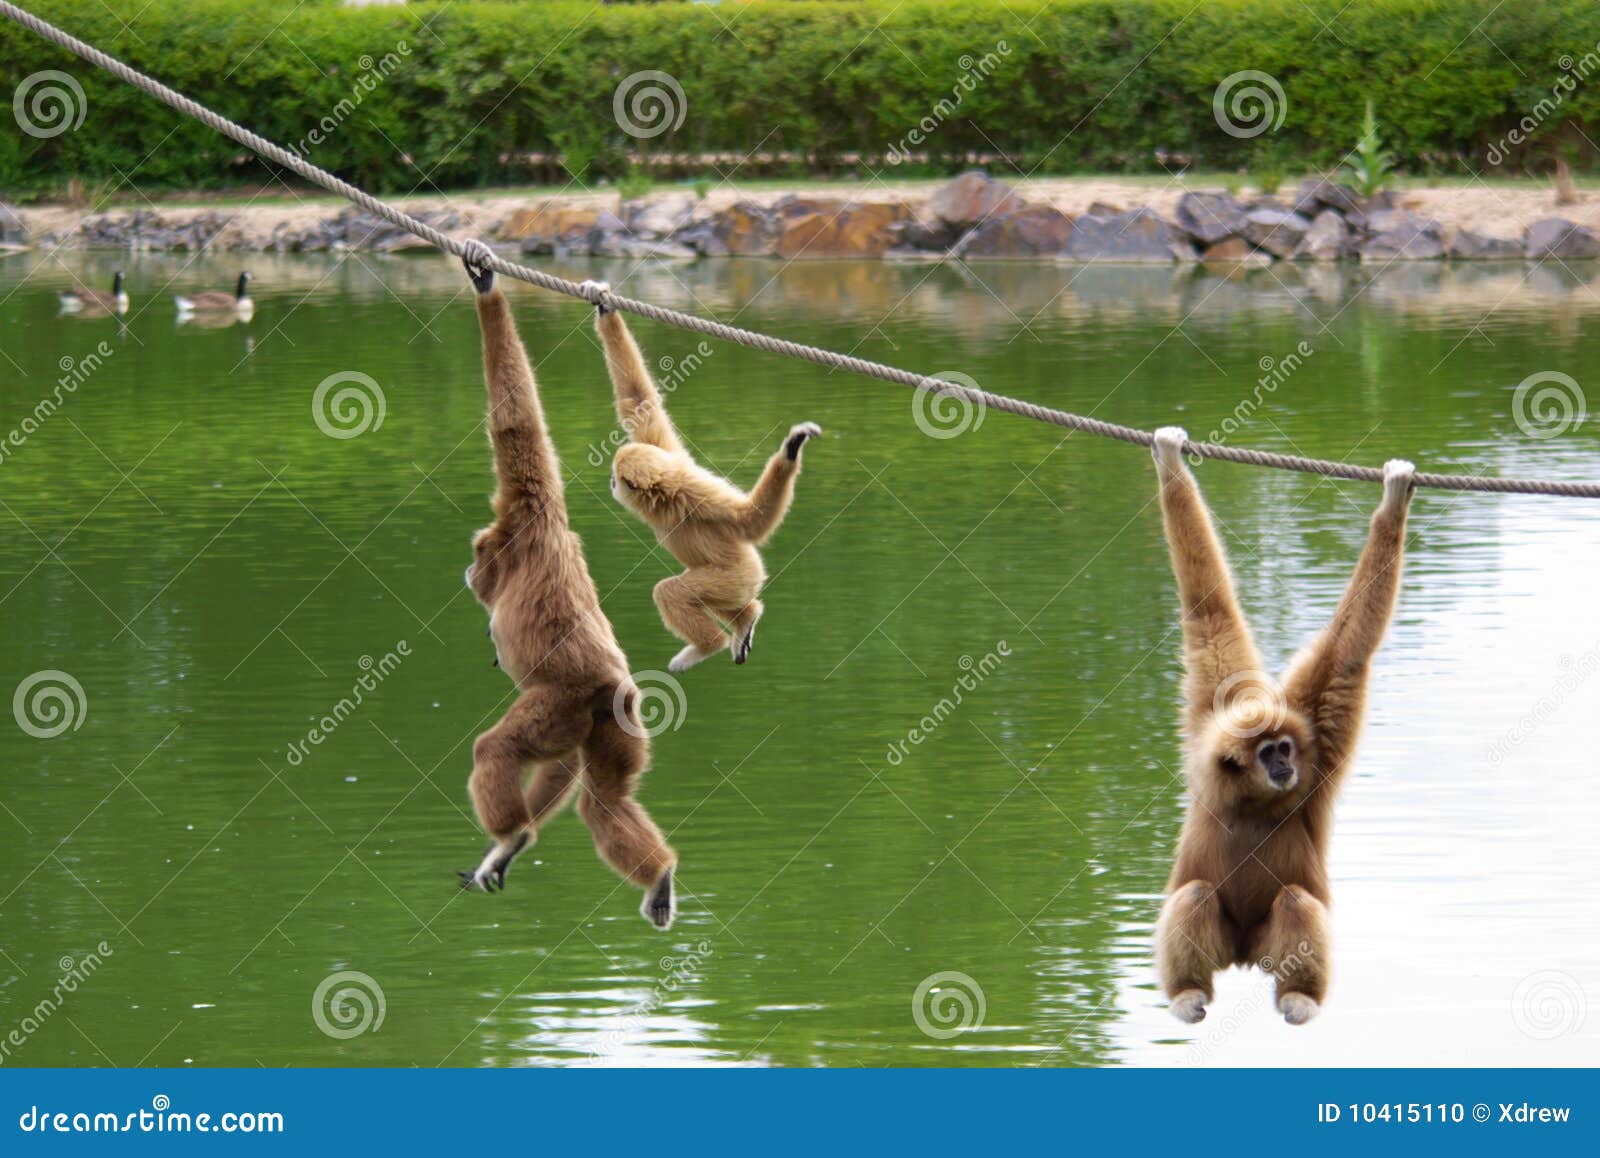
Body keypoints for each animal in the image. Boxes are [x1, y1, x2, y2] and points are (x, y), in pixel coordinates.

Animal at [455, 241, 677, 930]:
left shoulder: (528, 504)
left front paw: (486, 285)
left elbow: (516, 425)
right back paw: (659, 877)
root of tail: (613, 688)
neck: (517, 547)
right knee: (600, 797)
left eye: (477, 557)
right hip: (613, 723)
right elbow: (560, 775)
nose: (469, 573)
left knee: (497, 750)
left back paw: (511, 834)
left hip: (565, 703)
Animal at [581, 280, 821, 672]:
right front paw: (603, 305)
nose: (611, 483)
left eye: (617, 477)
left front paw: (791, 449)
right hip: (740, 583)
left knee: (673, 591)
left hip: (737, 576)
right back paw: (745, 620)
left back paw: (707, 646)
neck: (665, 496)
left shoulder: (697, 492)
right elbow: (639, 402)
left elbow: (750, 521)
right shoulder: (666, 451)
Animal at [1149, 425, 1415, 1025]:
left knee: (1295, 900)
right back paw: (1188, 992)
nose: (1285, 765)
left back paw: (1299, 996)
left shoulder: (1315, 726)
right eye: (1269, 753)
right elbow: (1208, 611)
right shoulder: (1210, 718)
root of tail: (1245, 956)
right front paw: (1171, 464)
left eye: (1287, 749)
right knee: (1194, 895)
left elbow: (1347, 653)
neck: (1252, 798)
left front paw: (1391, 505)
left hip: (1267, 941)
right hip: (1227, 938)